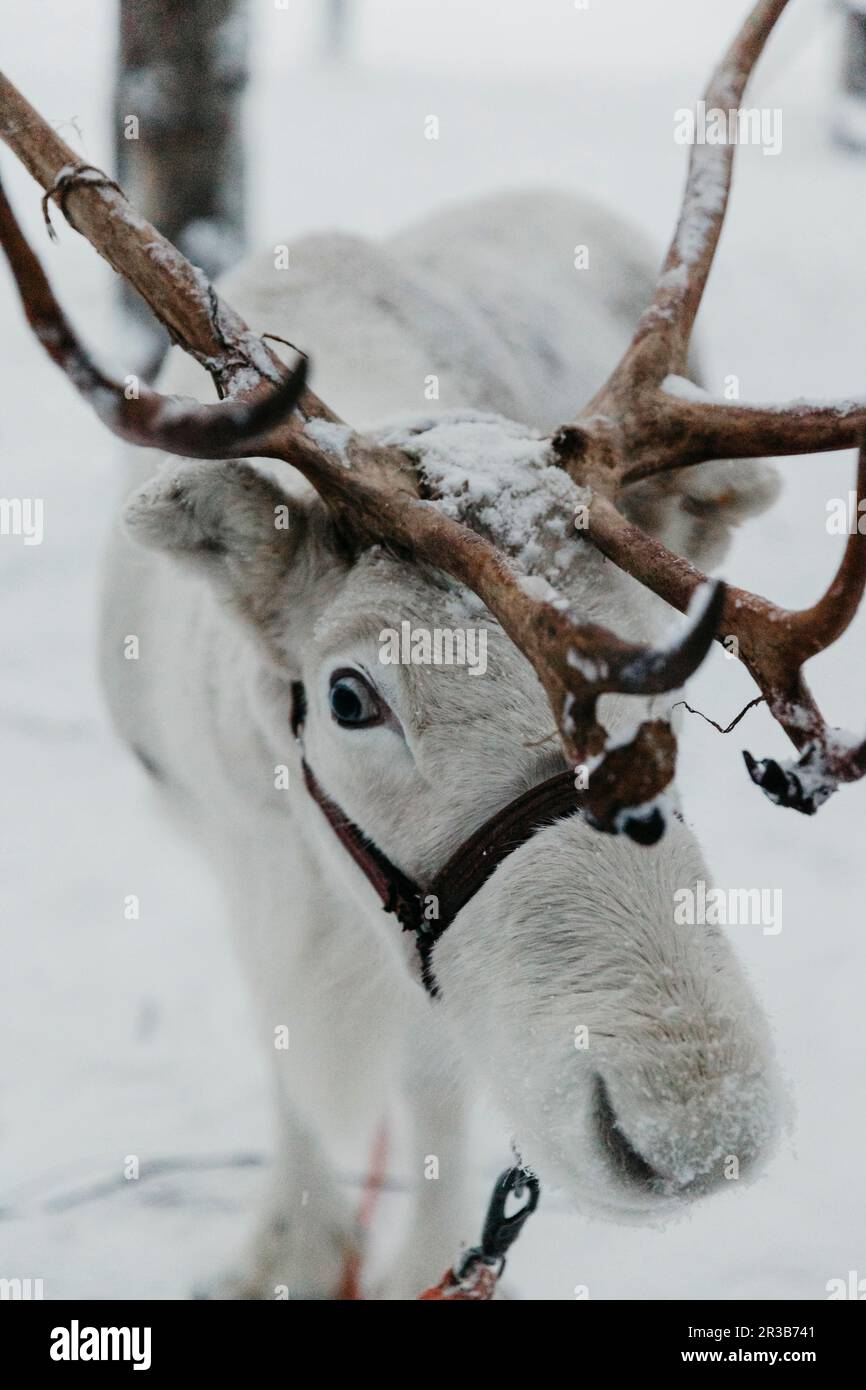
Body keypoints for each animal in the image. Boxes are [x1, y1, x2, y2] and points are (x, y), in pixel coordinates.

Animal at [2, 0, 865, 1299]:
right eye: (350, 696)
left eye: (671, 671)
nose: (696, 1125)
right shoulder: (238, 859)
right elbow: (291, 1066)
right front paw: (284, 1253)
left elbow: (430, 1093)